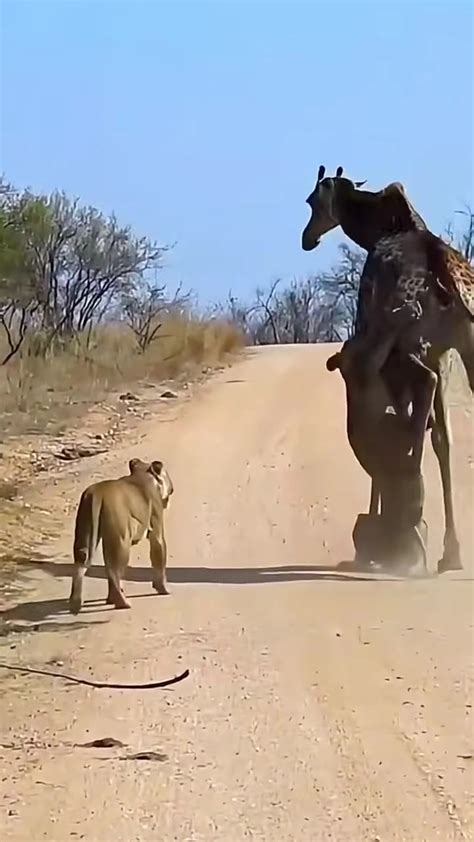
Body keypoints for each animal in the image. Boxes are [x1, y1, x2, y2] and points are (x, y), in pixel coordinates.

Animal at [69, 458, 174, 615]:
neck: (143, 474)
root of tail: (97, 493)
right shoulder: (157, 531)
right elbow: (159, 560)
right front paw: (163, 589)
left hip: (86, 536)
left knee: (83, 567)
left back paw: (76, 604)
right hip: (121, 542)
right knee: (114, 573)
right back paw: (122, 602)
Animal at [301, 165, 474, 572]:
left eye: (312, 201)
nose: (307, 239)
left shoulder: (379, 349)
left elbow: (386, 426)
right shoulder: (442, 353)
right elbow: (440, 439)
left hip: (410, 343)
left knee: (421, 390)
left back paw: (408, 522)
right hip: (464, 343)